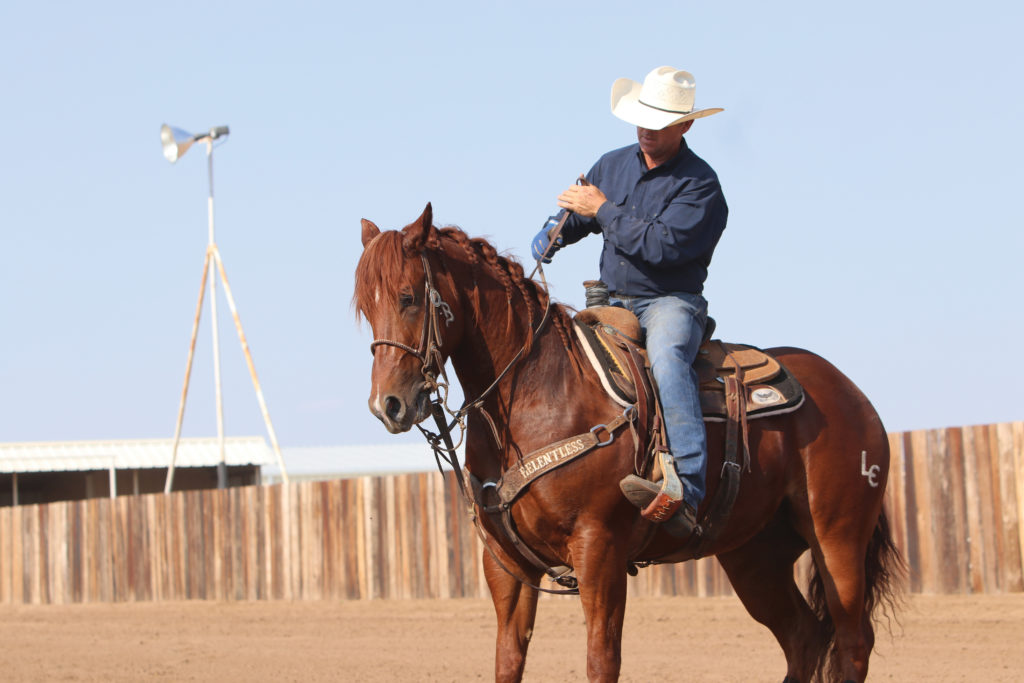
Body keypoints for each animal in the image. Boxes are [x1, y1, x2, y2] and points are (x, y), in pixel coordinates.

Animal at [353, 204, 903, 683]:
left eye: (408, 296)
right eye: (365, 307)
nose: (387, 405)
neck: (540, 390)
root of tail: (852, 394)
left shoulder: (600, 548)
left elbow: (602, 661)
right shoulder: (505, 563)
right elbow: (508, 661)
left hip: (837, 539)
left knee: (853, 643)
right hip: (755, 554)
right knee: (803, 637)